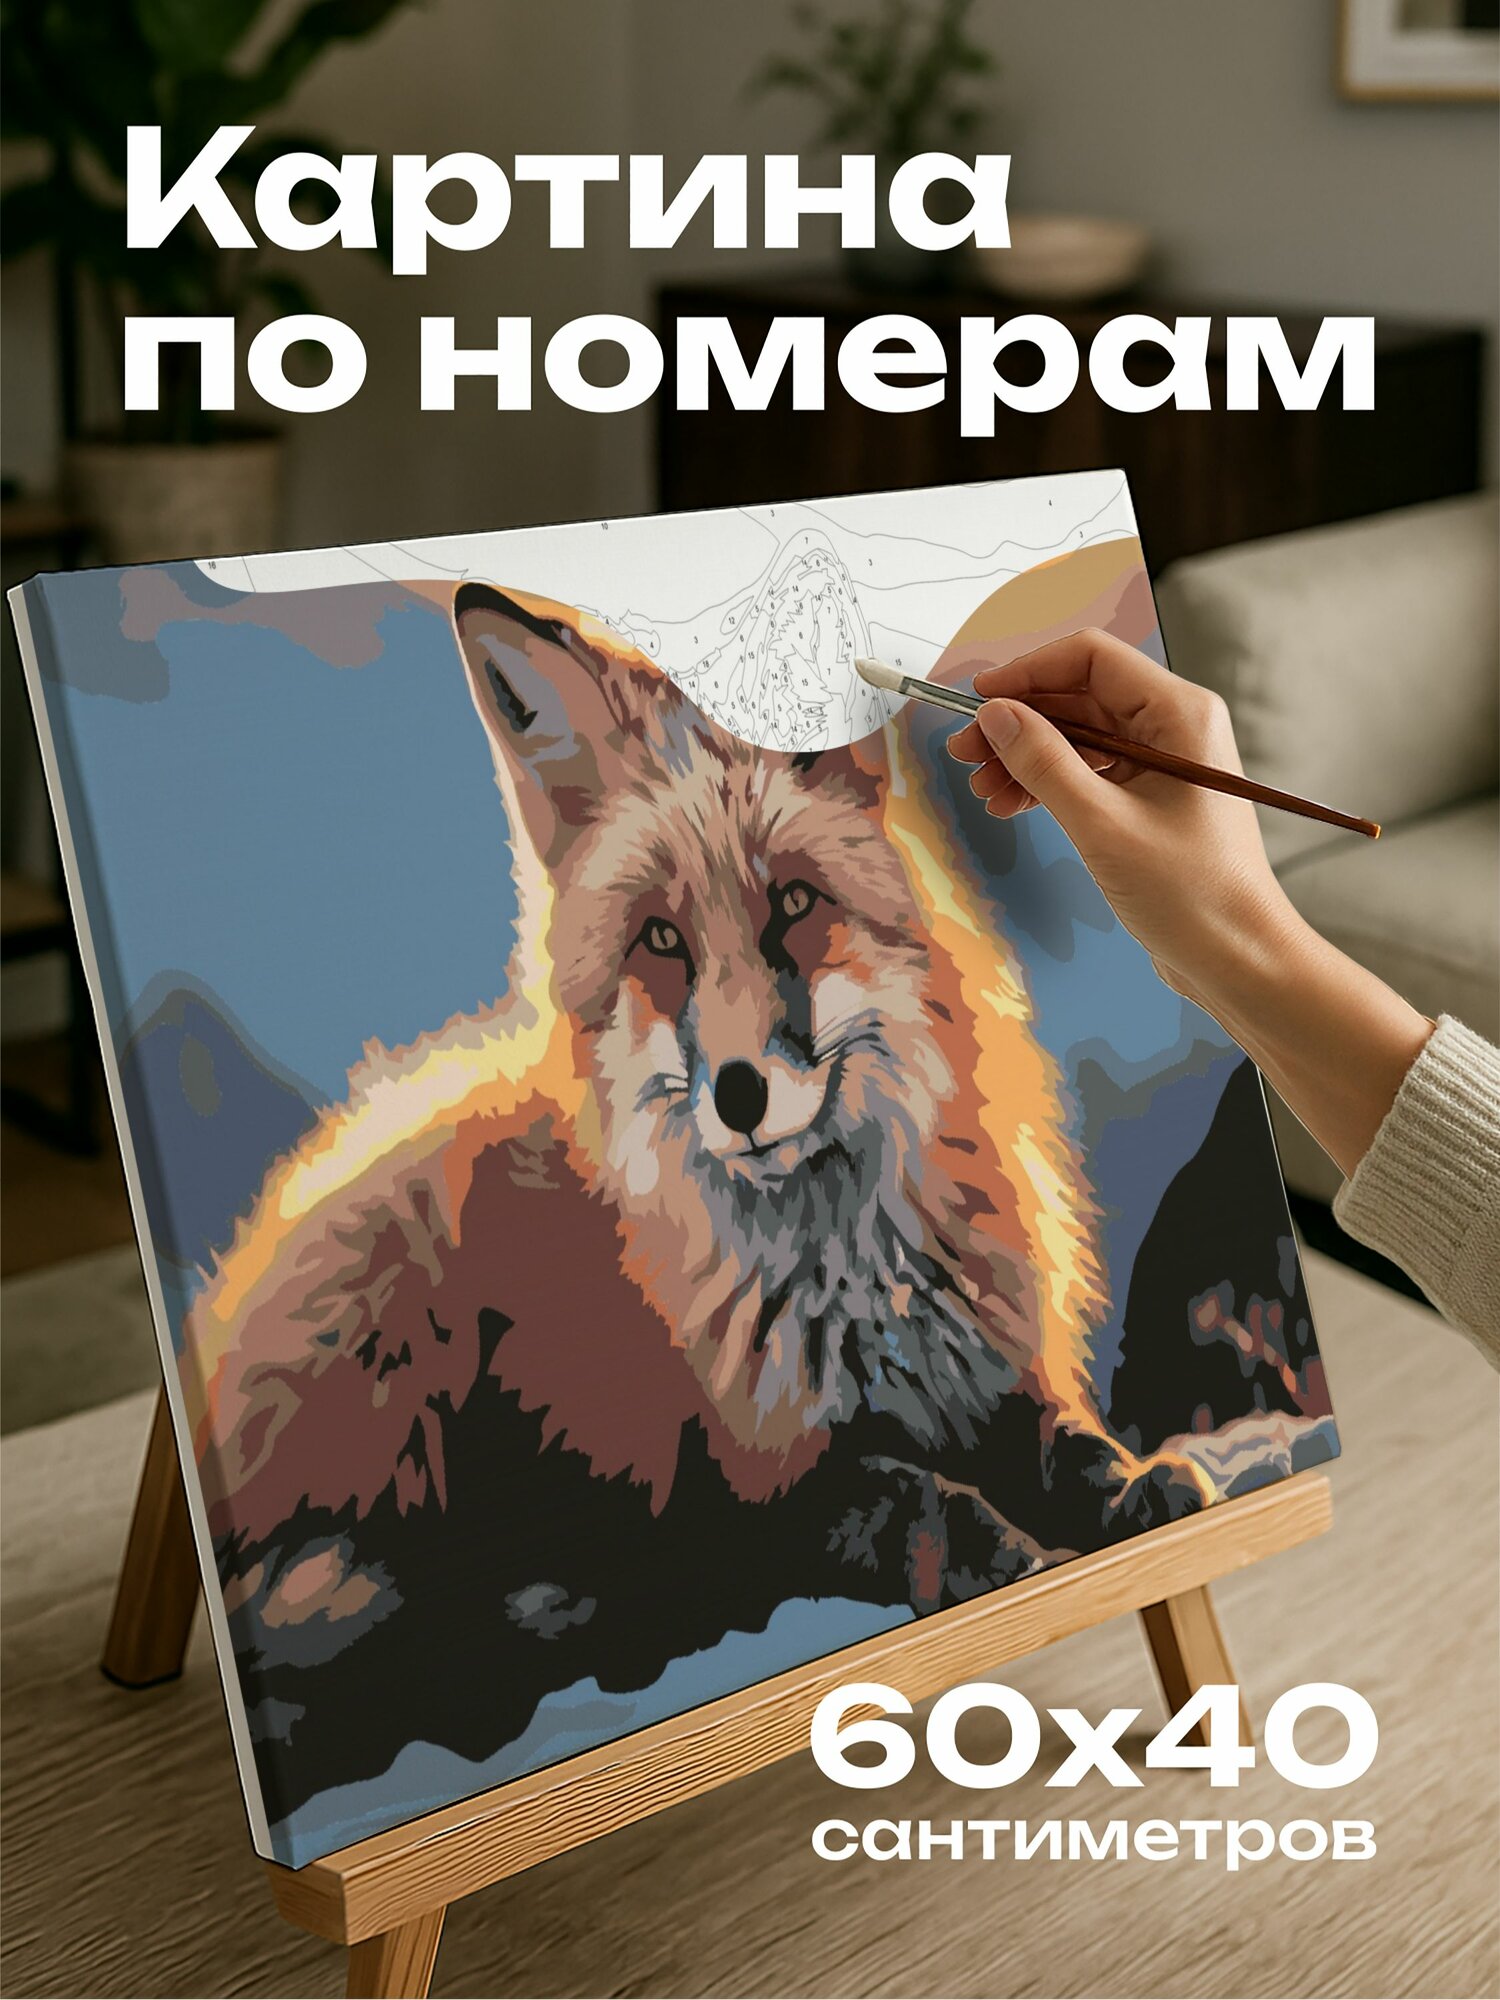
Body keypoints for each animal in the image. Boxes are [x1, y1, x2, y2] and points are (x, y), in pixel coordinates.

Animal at [182, 581, 1212, 1818]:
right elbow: (906, 1493)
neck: (850, 1283)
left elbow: (1075, 1447)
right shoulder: (745, 1483)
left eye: (795, 902)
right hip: (400, 1352)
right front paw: (997, 1545)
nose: (740, 1094)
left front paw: (1138, 1488)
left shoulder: (991, 1376)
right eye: (662, 939)